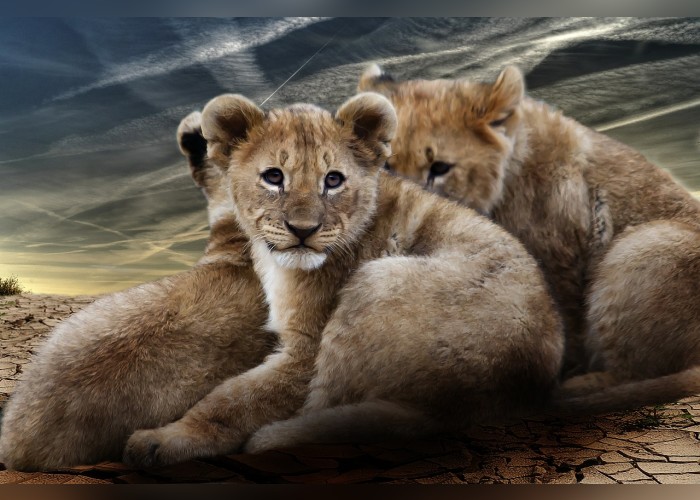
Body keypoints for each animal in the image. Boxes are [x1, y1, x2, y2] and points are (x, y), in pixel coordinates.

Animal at [121, 91, 564, 466]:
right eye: (273, 177)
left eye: (333, 179)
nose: (303, 230)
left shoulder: (305, 351)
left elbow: (234, 398)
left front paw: (166, 438)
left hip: (379, 280)